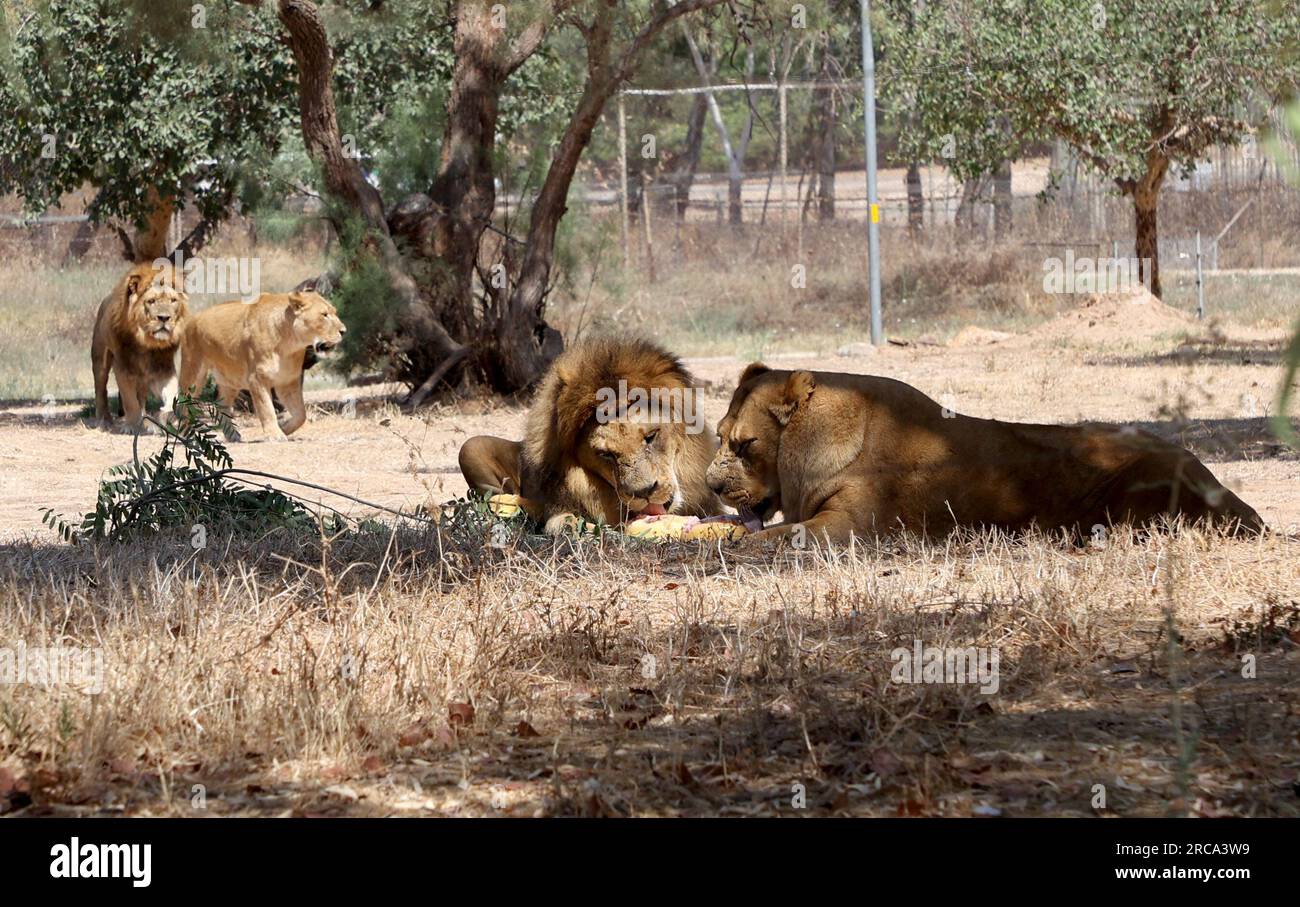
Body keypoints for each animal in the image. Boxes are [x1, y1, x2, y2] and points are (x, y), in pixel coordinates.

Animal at [91, 260, 189, 433]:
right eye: (151, 301)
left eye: (173, 300)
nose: (164, 318)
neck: (146, 343)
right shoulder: (123, 367)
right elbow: (130, 400)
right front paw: (131, 426)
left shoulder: (163, 368)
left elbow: (172, 393)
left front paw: (164, 416)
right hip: (99, 359)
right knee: (101, 389)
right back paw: (104, 420)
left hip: (143, 376)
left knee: (142, 395)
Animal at [177, 291, 345, 442]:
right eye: (324, 314)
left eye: (334, 312)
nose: (344, 331)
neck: (290, 345)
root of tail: (193, 318)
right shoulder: (257, 379)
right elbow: (267, 408)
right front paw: (275, 435)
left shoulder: (288, 382)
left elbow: (300, 414)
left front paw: (284, 428)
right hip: (194, 373)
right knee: (183, 403)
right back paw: (188, 434)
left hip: (230, 380)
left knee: (222, 407)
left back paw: (232, 436)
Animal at [458, 337, 722, 533]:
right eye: (606, 454)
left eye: (650, 437)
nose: (644, 493)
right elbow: (560, 518)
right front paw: (567, 524)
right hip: (470, 447)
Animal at [707, 364, 1265, 546]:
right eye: (719, 436)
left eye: (746, 445)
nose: (712, 487)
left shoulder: (851, 527)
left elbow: (769, 536)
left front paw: (730, 539)